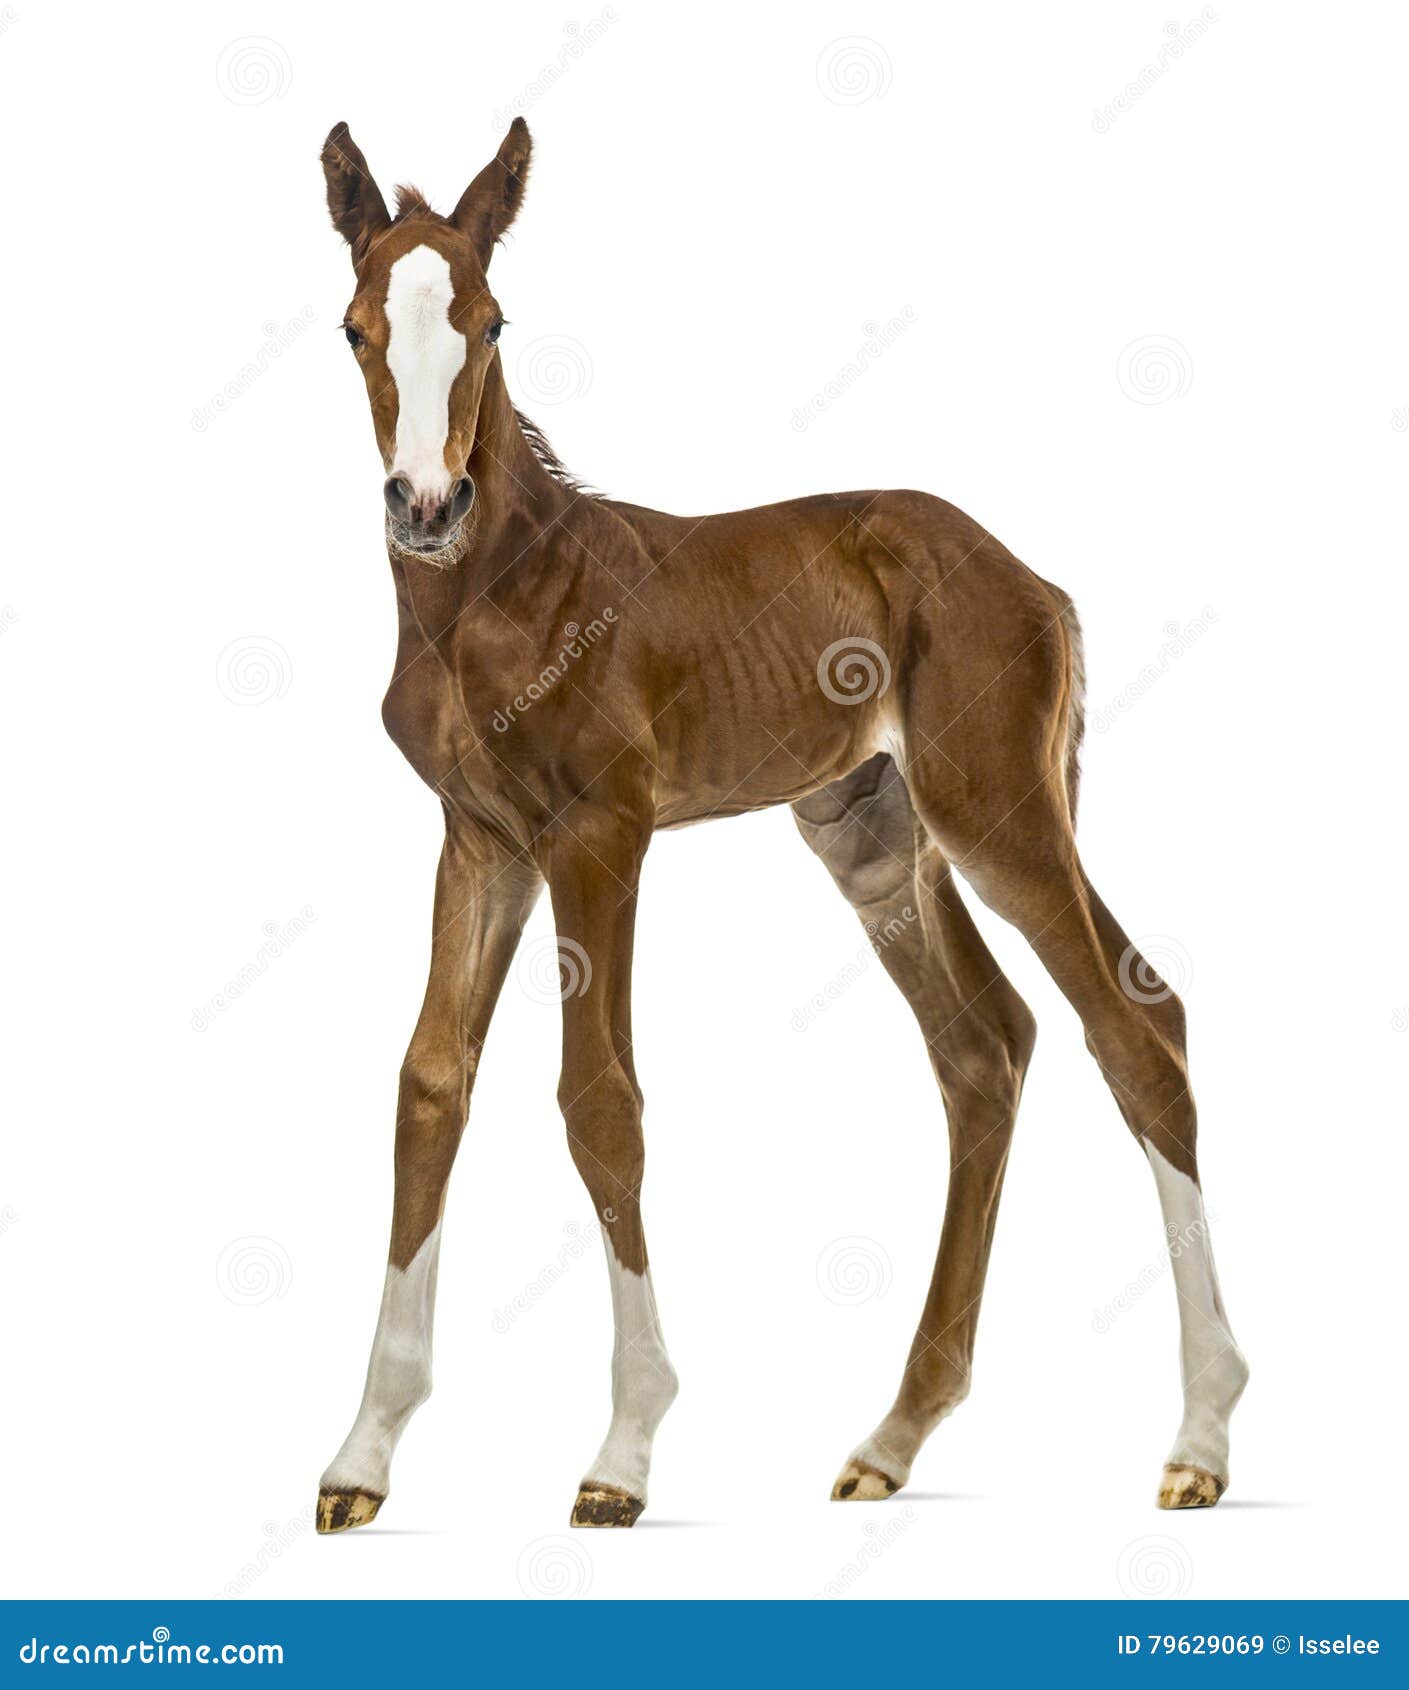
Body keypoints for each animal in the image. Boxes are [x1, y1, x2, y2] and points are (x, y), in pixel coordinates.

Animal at [314, 118, 1247, 1533]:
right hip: (873, 833)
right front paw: (362, 1453)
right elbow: (429, 1085)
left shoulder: (600, 833)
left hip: (996, 811)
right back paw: (895, 1436)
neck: (498, 594)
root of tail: (1032, 579)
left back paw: (1199, 1436)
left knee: (1133, 1029)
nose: (425, 504)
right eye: (357, 327)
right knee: (988, 1045)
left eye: (487, 319)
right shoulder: (478, 842)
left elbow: (599, 1099)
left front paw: (622, 1453)